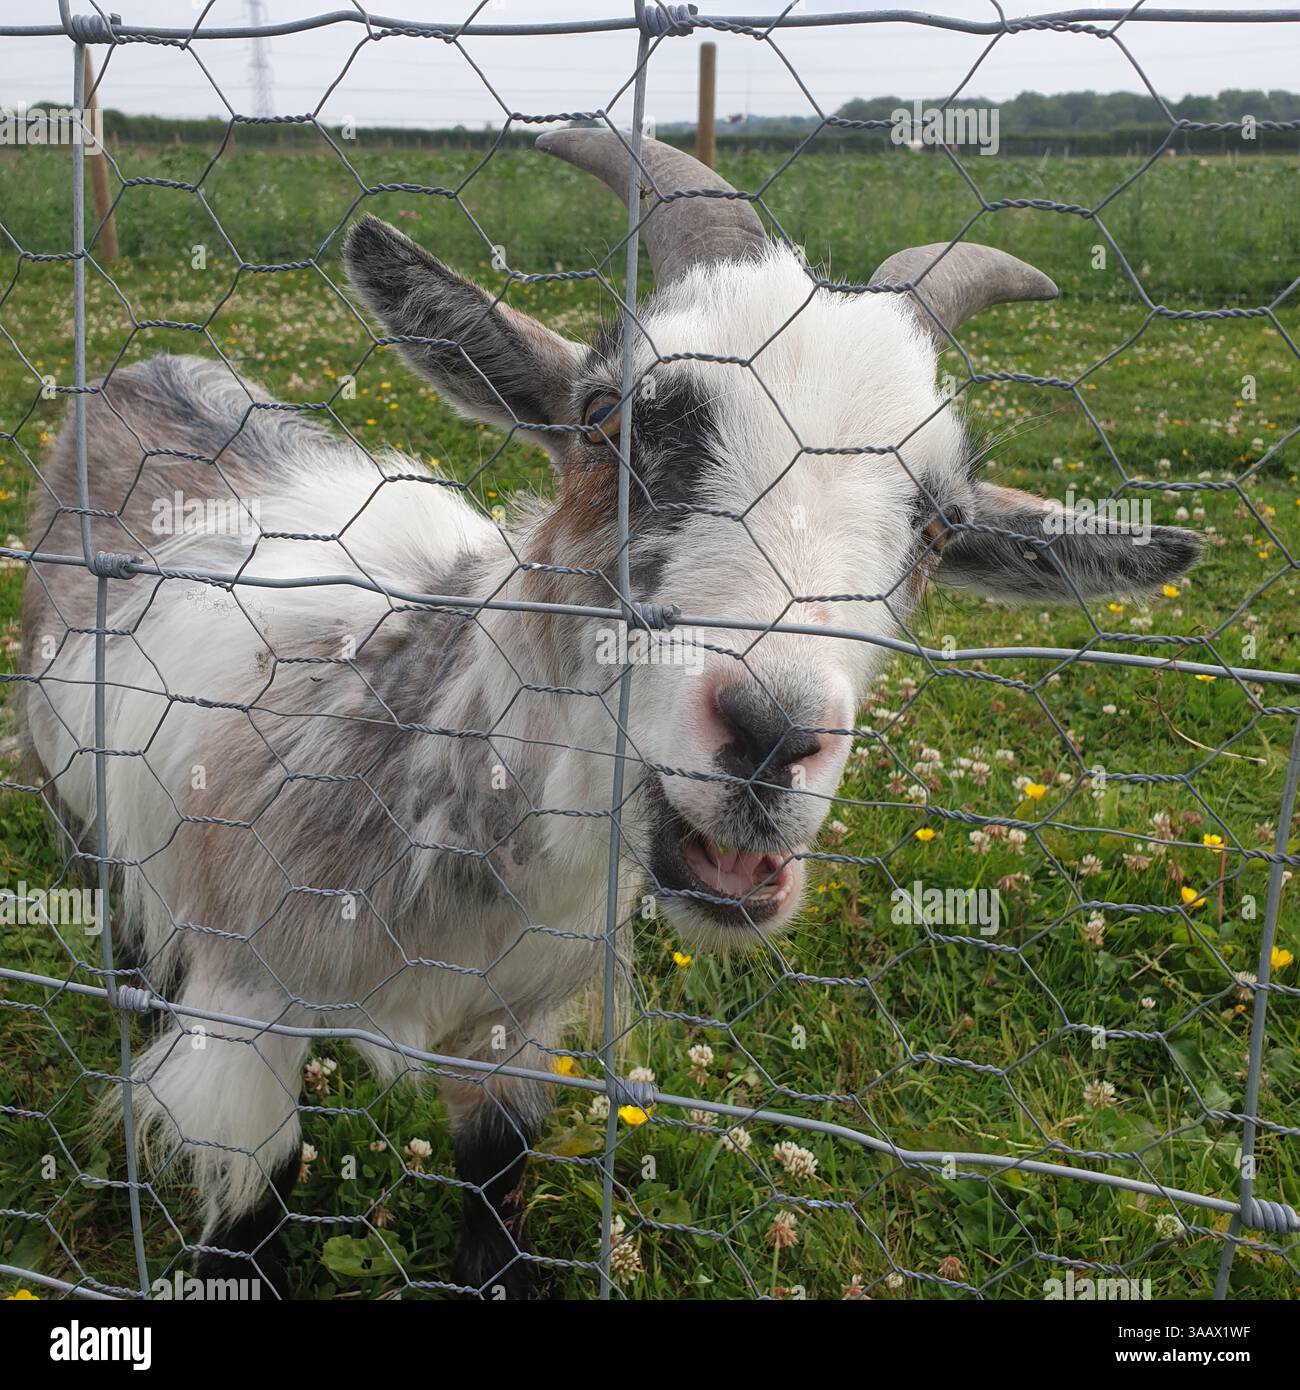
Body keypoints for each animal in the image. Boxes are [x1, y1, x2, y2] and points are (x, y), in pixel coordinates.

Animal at [19, 132, 1200, 1297]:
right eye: (606, 422)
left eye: (939, 526)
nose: (772, 734)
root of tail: (143, 366)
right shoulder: (244, 1013)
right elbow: (255, 1204)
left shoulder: (516, 1018)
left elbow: (497, 1186)